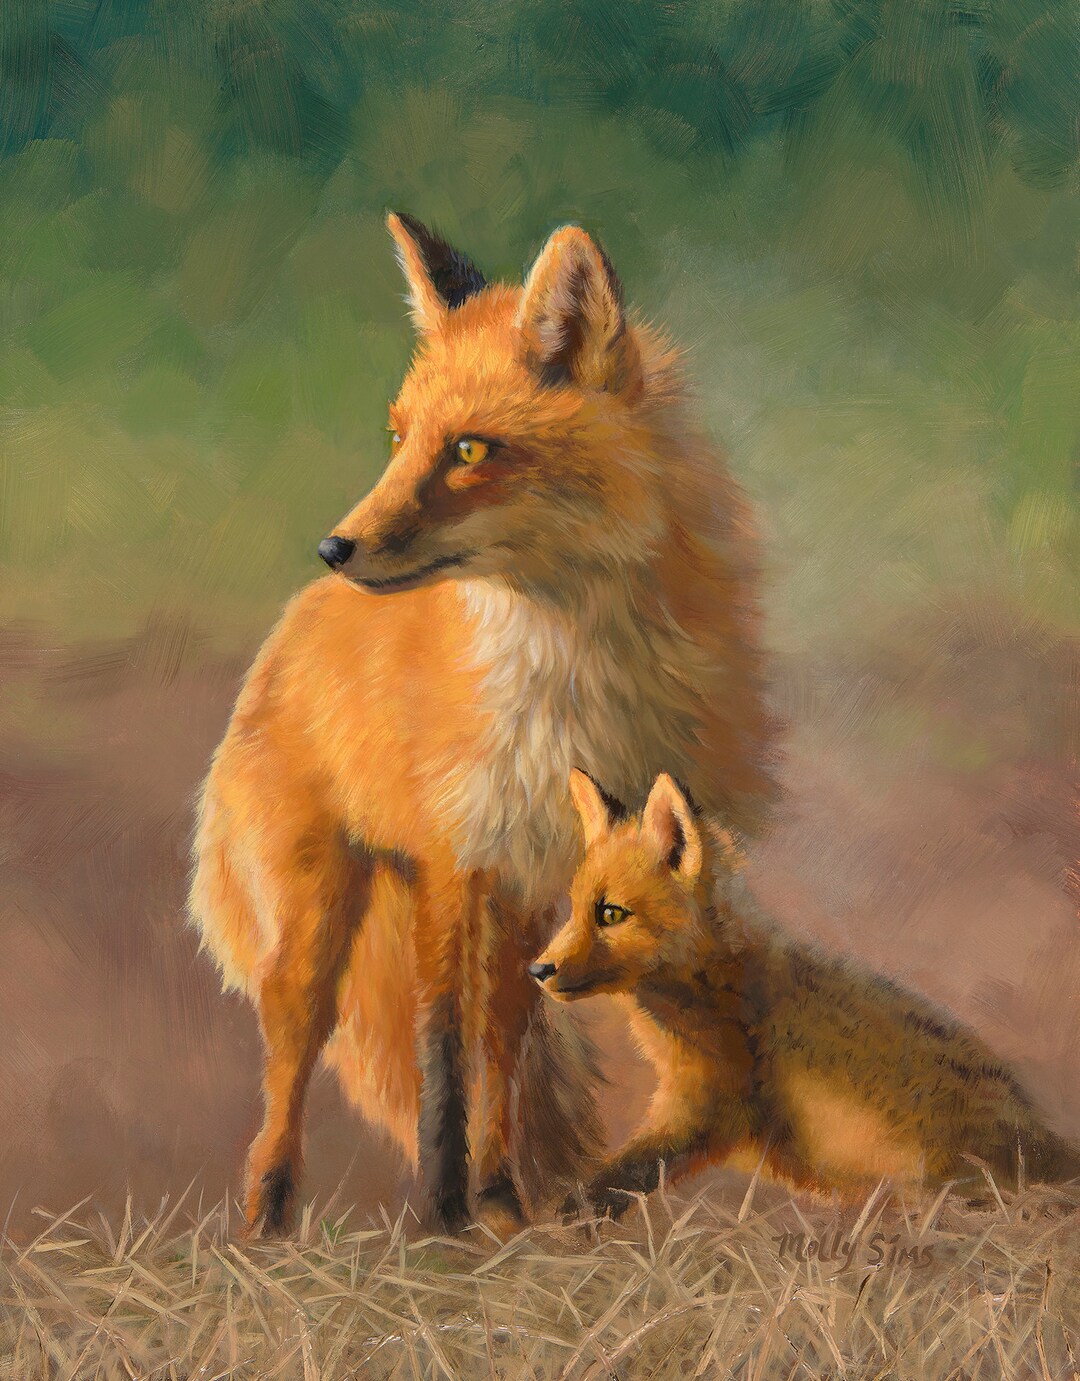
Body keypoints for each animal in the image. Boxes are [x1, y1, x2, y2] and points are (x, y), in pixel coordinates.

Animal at [188, 214, 778, 1235]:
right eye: (397, 438)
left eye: (469, 450)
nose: (335, 546)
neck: (567, 682)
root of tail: (291, 625)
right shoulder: (450, 860)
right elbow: (439, 1050)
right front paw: (438, 1216)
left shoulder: (539, 872)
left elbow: (498, 1048)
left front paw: (497, 1206)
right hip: (317, 919)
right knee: (292, 1057)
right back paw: (265, 1221)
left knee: (503, 1028)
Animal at [530, 770, 1080, 1217]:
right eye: (574, 910)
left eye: (611, 914)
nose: (537, 969)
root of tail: (1042, 1132)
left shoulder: (707, 1106)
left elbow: (632, 1170)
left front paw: (572, 1214)